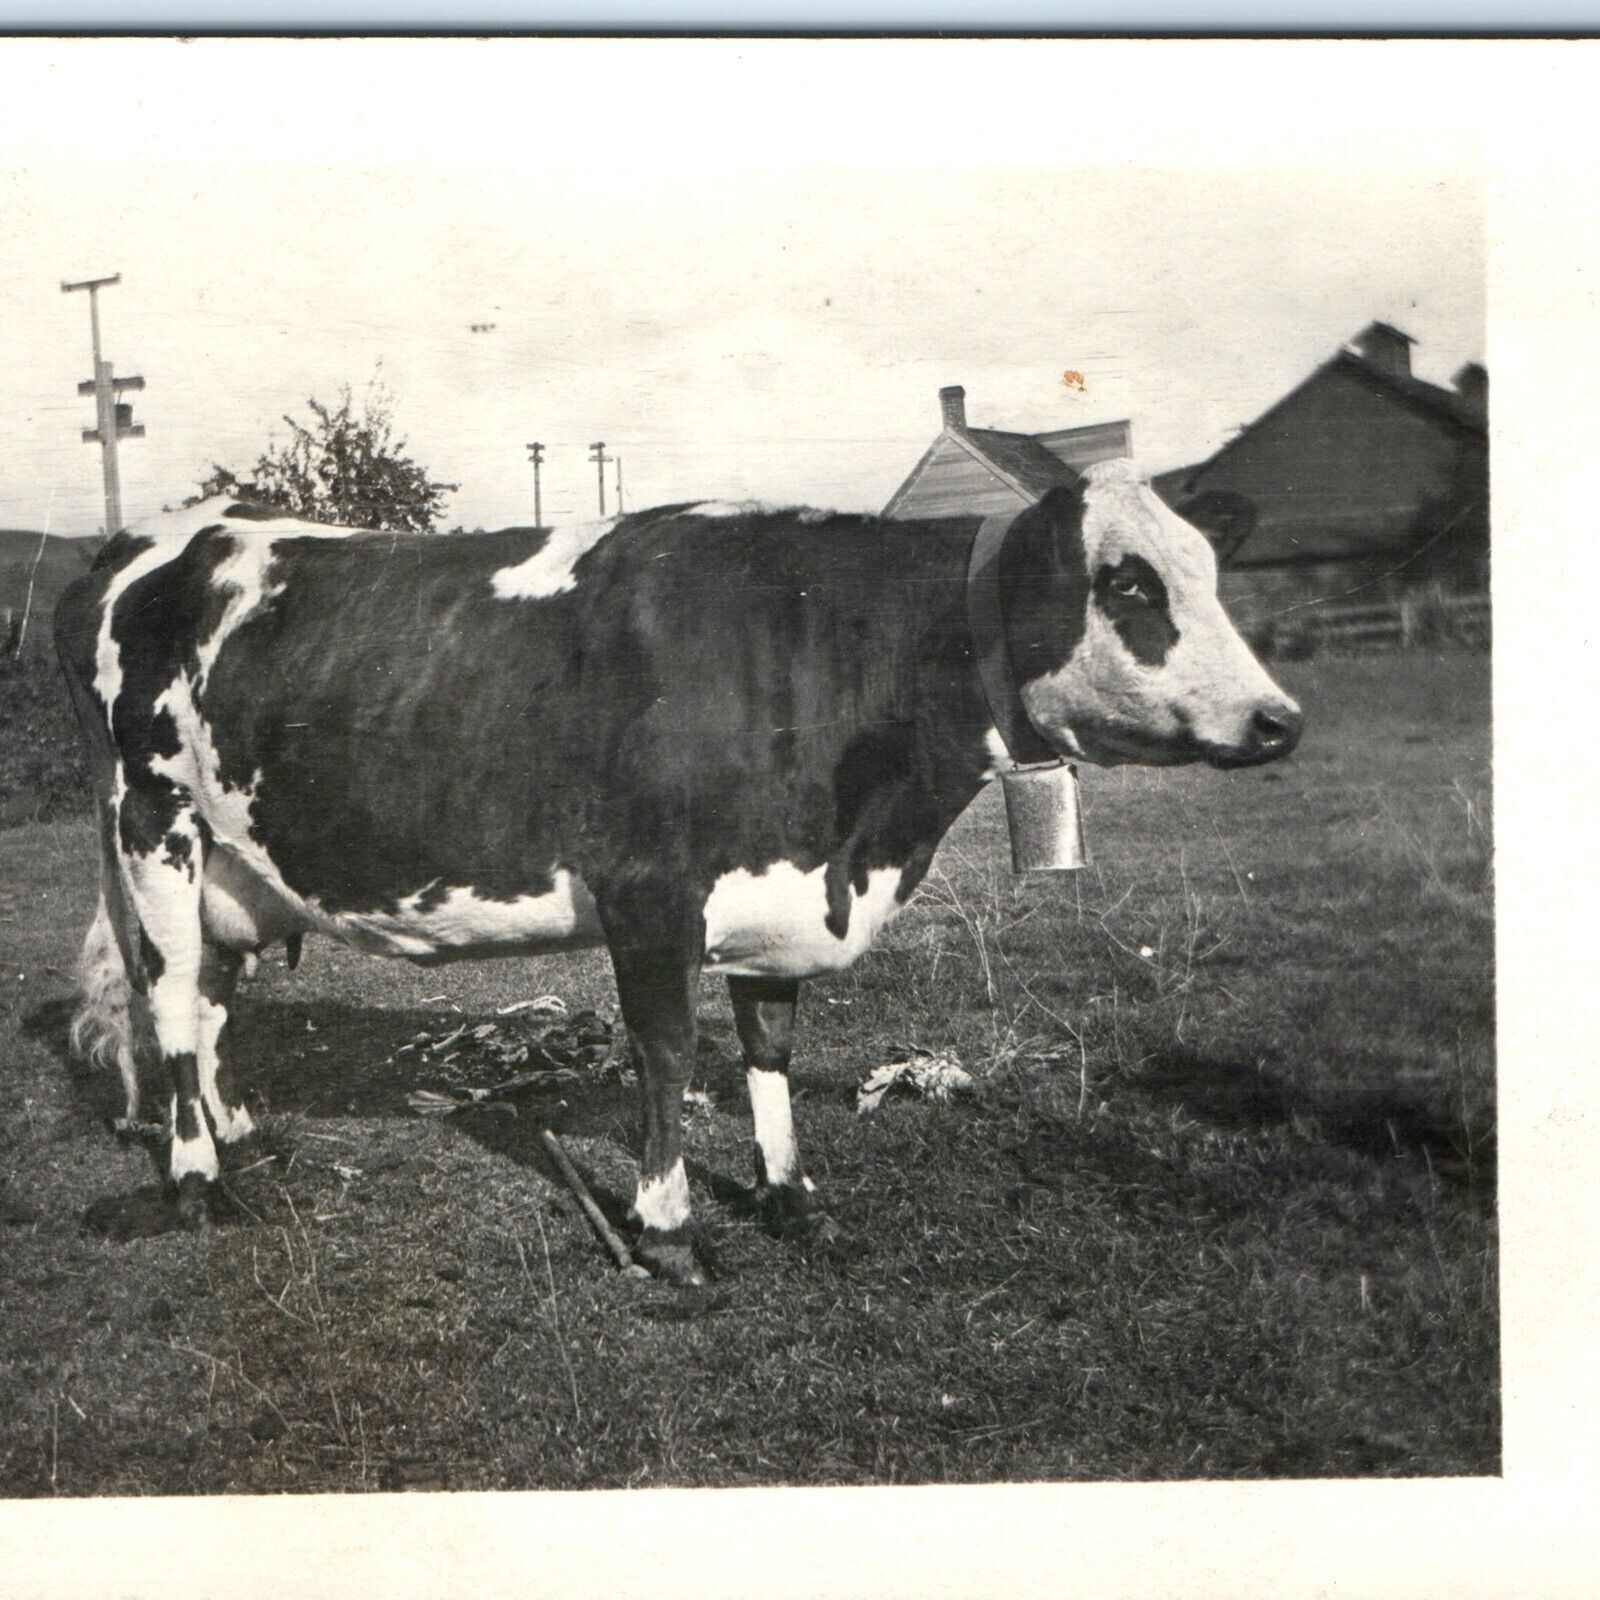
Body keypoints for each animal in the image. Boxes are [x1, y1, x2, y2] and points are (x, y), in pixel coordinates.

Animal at [55, 460, 1301, 1287]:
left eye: (1208, 569)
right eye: (1127, 582)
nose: (1279, 719)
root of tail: (152, 539)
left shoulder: (782, 885)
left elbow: (768, 1049)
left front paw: (790, 1198)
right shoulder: (650, 894)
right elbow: (665, 1055)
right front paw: (667, 1227)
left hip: (236, 862)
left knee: (212, 1000)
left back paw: (239, 1130)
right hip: (153, 823)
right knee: (169, 1006)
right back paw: (197, 1180)